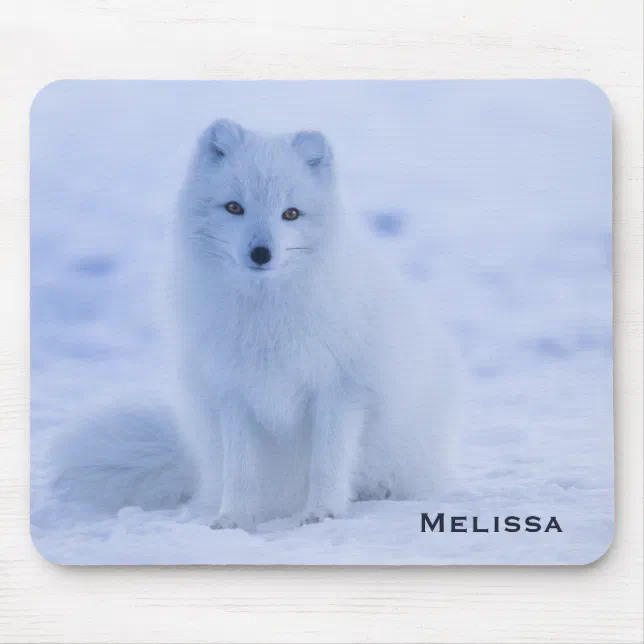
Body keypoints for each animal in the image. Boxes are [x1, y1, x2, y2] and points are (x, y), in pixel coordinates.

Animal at [52, 119, 465, 530]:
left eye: (291, 214)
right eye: (234, 207)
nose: (261, 253)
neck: (266, 316)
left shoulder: (340, 389)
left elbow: (328, 463)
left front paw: (322, 513)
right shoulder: (234, 393)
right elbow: (241, 471)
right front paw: (233, 518)